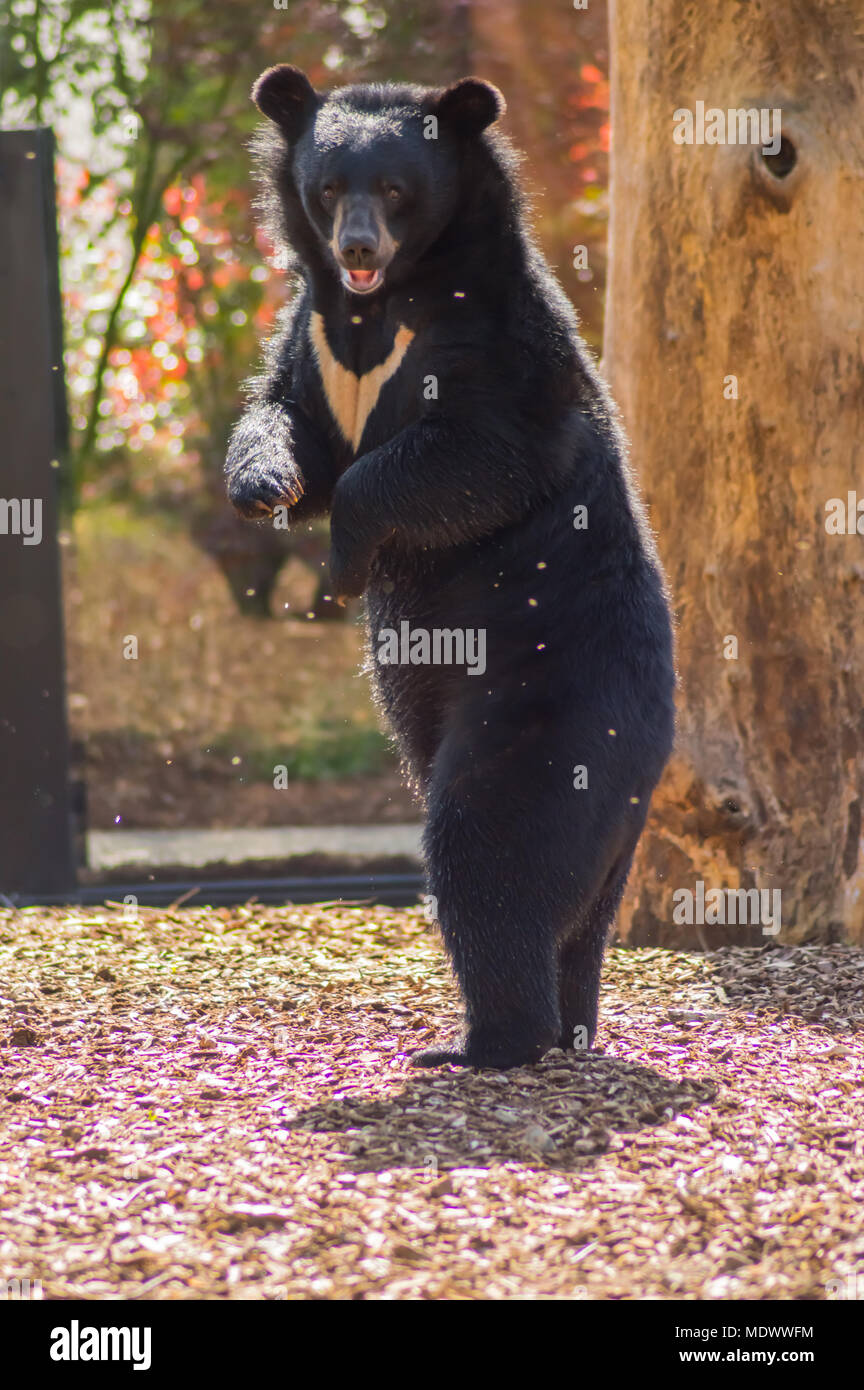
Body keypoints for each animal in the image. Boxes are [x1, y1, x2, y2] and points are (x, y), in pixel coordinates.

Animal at [226, 65, 676, 1069]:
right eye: (327, 188)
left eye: (396, 190)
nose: (356, 246)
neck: (382, 303)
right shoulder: (313, 339)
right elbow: (286, 416)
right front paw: (262, 488)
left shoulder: (497, 348)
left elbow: (473, 454)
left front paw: (343, 567)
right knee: (577, 916)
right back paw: (569, 1026)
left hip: (549, 715)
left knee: (487, 852)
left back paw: (484, 1044)